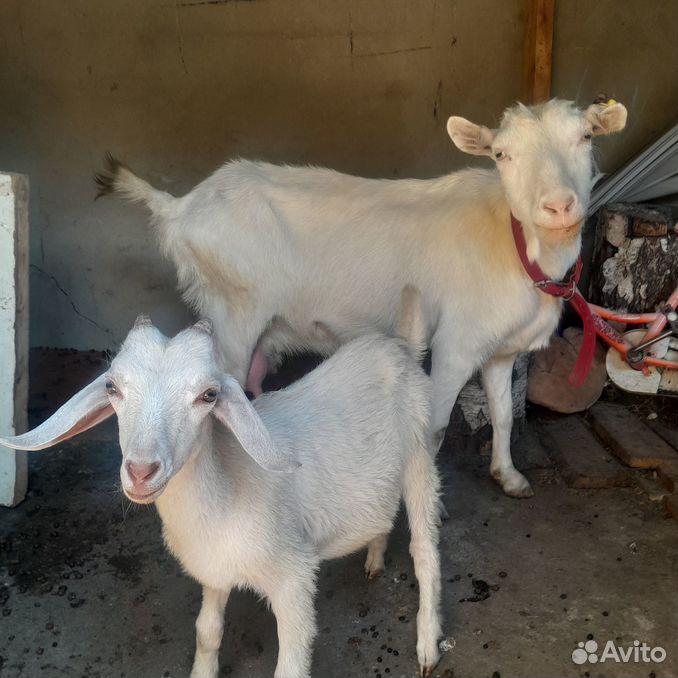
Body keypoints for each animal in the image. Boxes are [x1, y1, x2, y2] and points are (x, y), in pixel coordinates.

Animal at [0, 289, 442, 678]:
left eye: (209, 395)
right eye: (112, 387)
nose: (141, 471)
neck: (227, 489)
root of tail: (401, 348)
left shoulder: (294, 578)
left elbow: (290, 664)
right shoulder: (213, 569)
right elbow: (207, 631)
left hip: (420, 455)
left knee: (424, 550)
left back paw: (427, 646)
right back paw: (374, 557)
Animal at [95, 98, 627, 497]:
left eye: (586, 137)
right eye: (502, 155)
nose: (558, 206)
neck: (518, 246)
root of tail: (181, 206)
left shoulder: (500, 347)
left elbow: (501, 414)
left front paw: (509, 476)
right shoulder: (456, 344)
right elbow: (434, 426)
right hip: (233, 312)